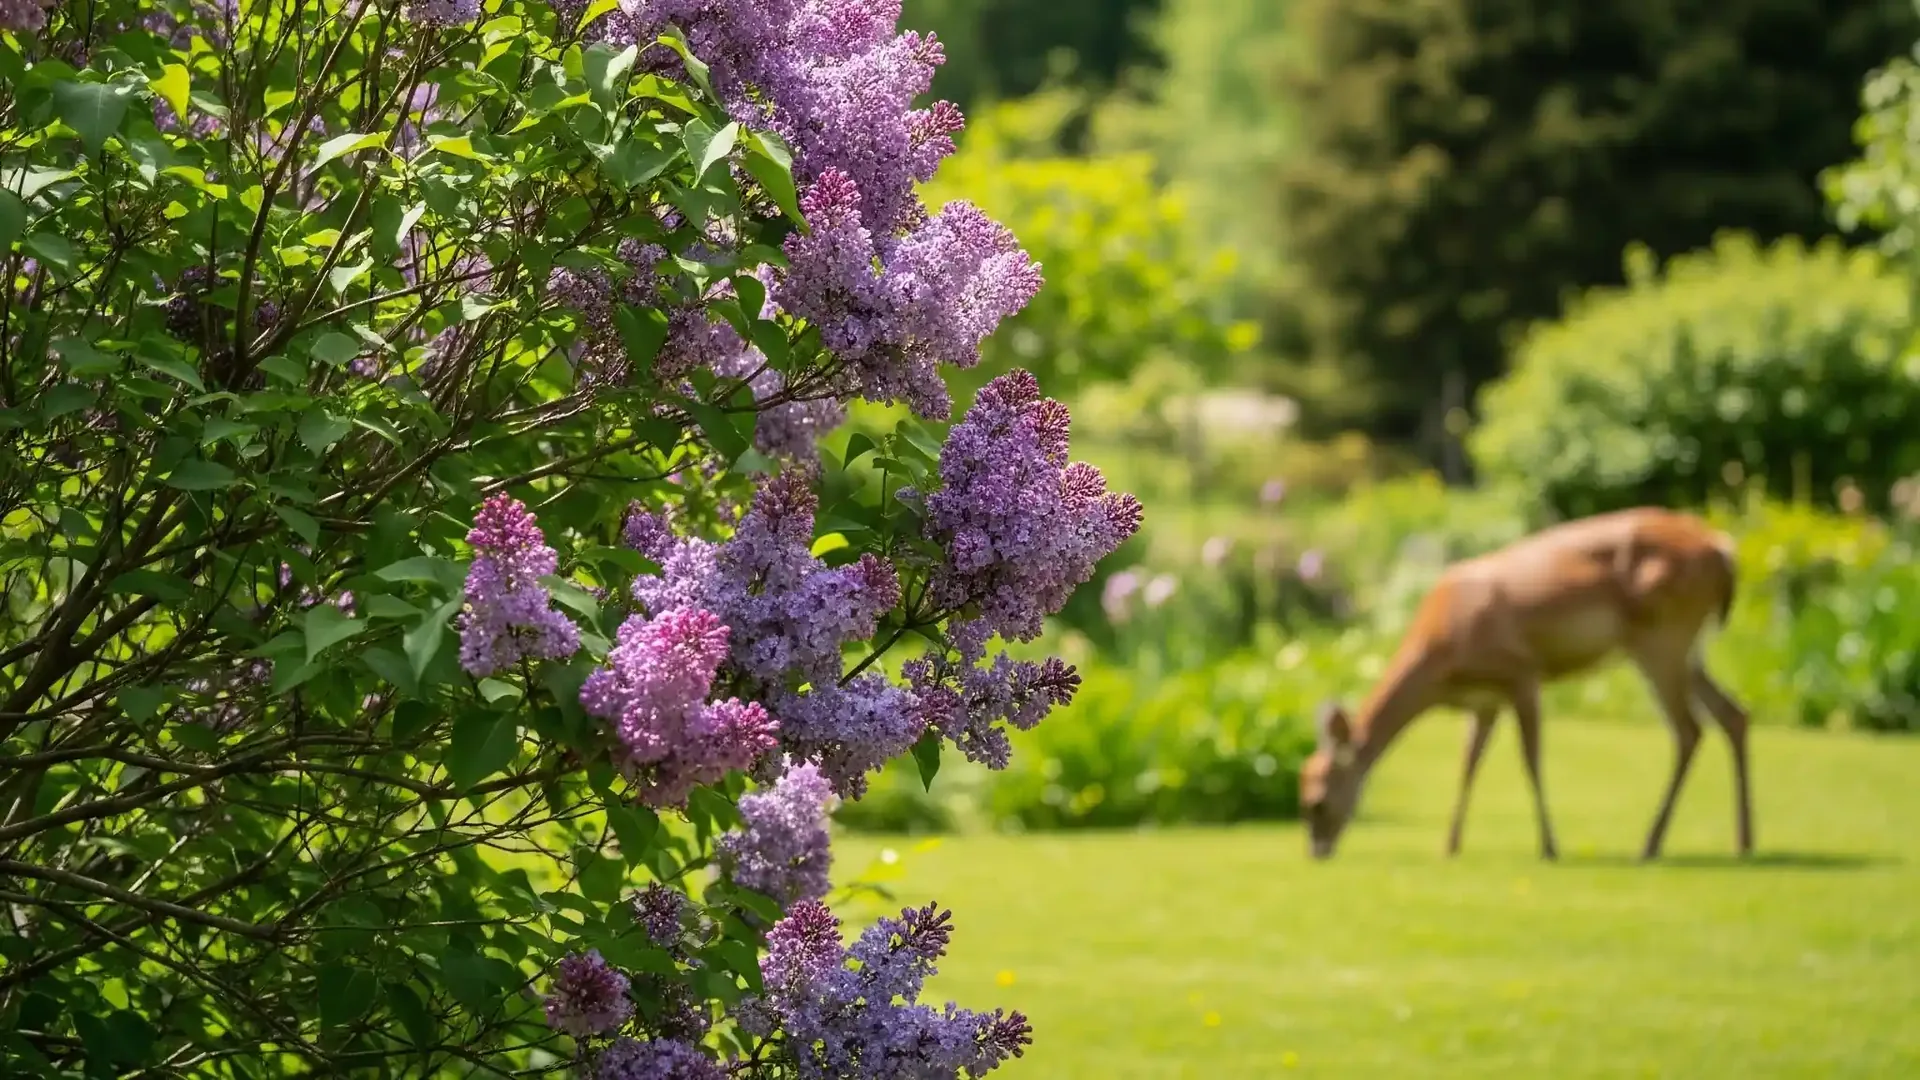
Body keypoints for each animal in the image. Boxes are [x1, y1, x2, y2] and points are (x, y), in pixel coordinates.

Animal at [1297, 506, 1753, 862]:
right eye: (1302, 789)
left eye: (1316, 802)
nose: (1317, 852)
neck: (1440, 661)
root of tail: (1723, 550)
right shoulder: (1484, 701)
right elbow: (1468, 764)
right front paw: (1450, 846)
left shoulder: (1522, 673)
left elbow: (1530, 759)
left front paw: (1549, 847)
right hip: (1689, 648)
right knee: (1734, 714)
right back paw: (1744, 841)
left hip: (1663, 640)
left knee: (1690, 729)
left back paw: (1651, 844)